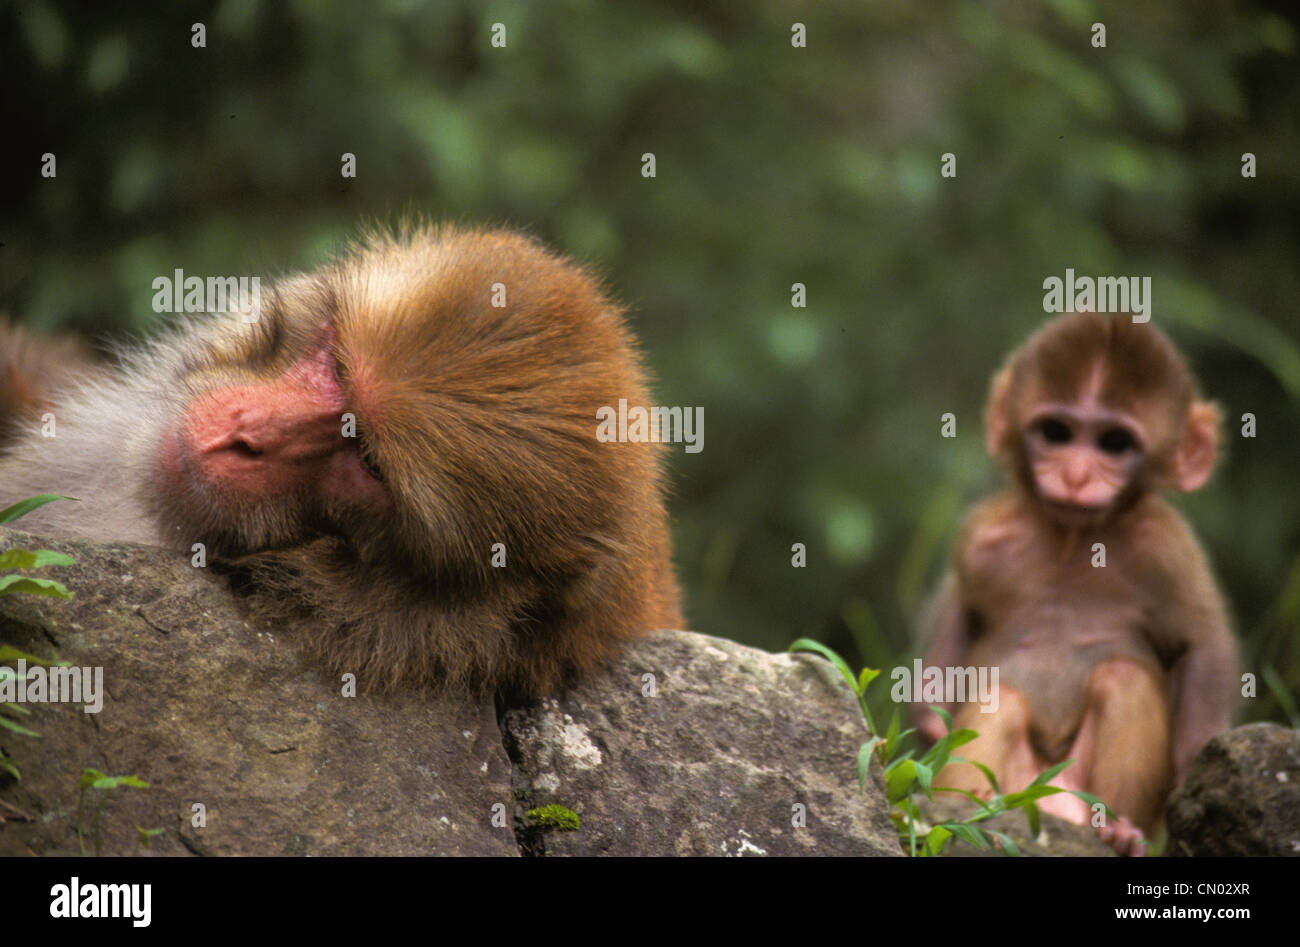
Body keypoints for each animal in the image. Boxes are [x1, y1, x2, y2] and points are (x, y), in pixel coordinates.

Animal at [915, 311, 1238, 856]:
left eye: (1114, 443)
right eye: (1056, 432)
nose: (1075, 476)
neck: (1072, 540)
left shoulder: (1168, 548)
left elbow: (1203, 645)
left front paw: (1194, 774)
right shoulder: (980, 536)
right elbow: (961, 616)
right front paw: (927, 722)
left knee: (1122, 676)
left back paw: (1117, 830)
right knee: (1000, 697)